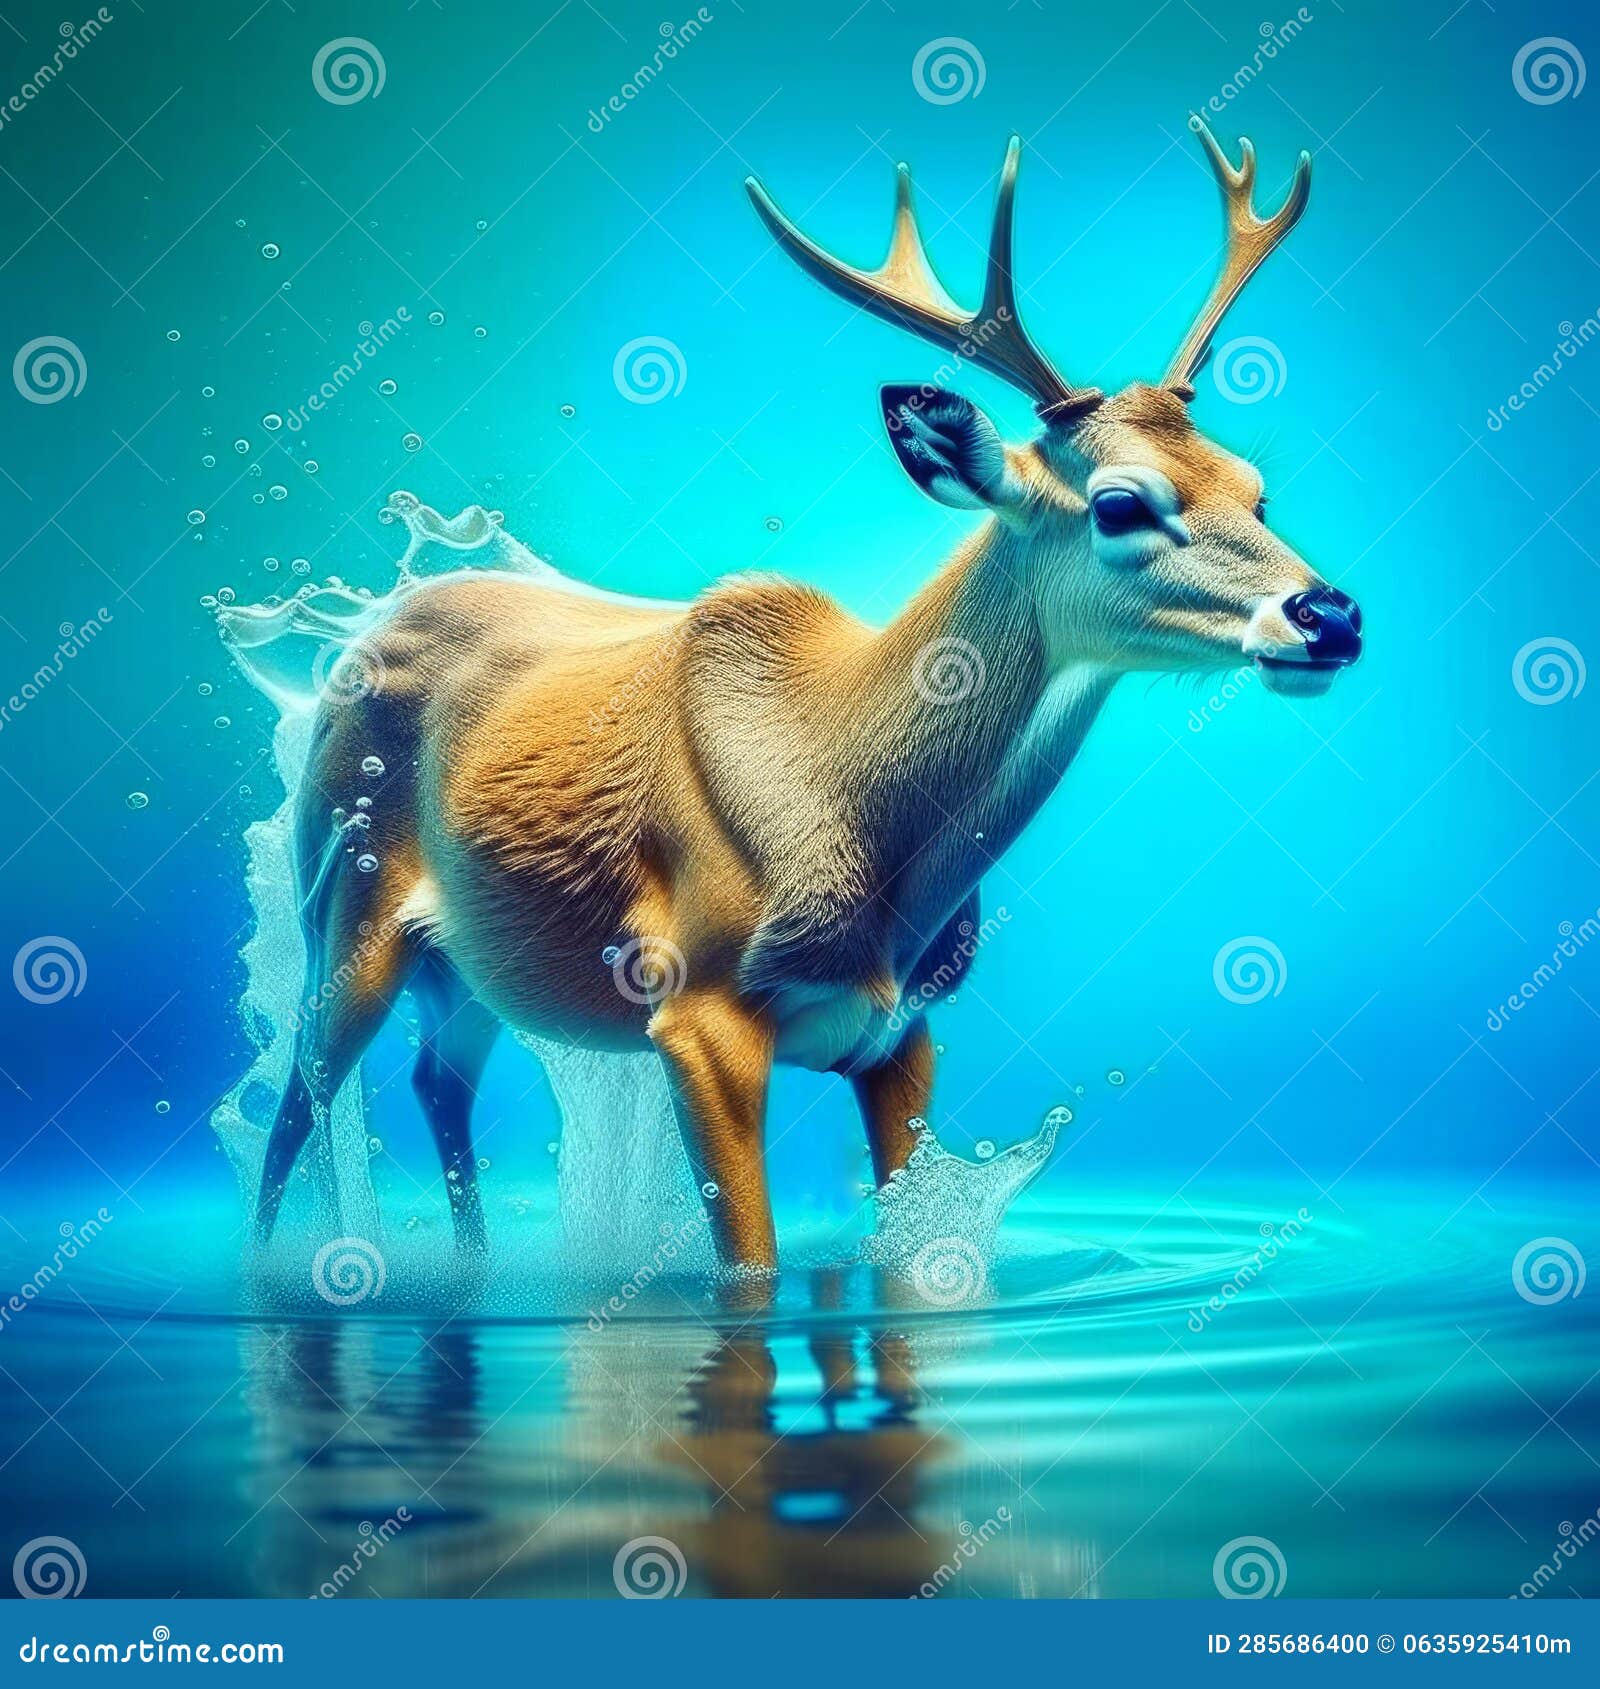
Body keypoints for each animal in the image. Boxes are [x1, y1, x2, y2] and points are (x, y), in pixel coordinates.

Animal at [253, 118, 1362, 1275]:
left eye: (1257, 491)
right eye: (1119, 505)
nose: (1329, 616)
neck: (849, 797)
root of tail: (364, 640)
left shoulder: (900, 1031)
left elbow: (909, 1253)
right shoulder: (695, 1013)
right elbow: (751, 1268)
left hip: (465, 963)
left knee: (436, 1078)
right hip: (342, 902)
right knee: (301, 1093)